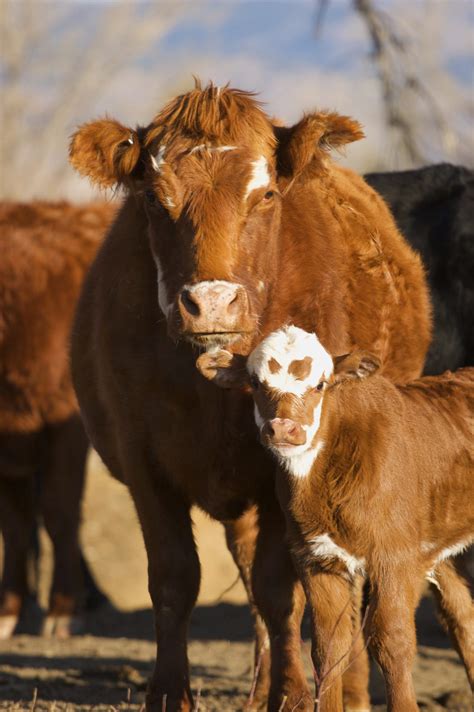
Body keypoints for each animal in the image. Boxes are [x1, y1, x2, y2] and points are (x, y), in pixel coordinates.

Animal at [68, 81, 431, 711]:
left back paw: (350, 689)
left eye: (264, 196)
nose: (211, 302)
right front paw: (170, 692)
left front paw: (293, 693)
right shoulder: (143, 464)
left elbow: (279, 590)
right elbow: (174, 579)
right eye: (154, 200)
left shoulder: (285, 474)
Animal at [229, 324, 473, 712]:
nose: (283, 429)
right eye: (255, 382)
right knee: (462, 618)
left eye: (320, 384)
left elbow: (391, 640)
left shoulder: (394, 557)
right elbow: (329, 648)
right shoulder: (315, 557)